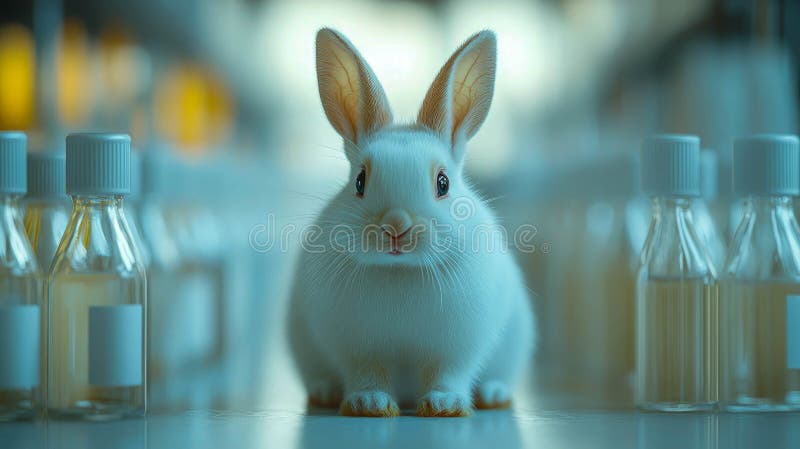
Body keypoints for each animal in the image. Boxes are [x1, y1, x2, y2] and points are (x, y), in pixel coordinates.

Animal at [288, 27, 536, 417]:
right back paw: (324, 392)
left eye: (443, 183)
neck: (400, 271)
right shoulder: (358, 349)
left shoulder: (456, 348)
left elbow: (447, 374)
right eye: (360, 182)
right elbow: (368, 374)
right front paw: (369, 404)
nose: (396, 225)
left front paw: (445, 406)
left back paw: (493, 395)